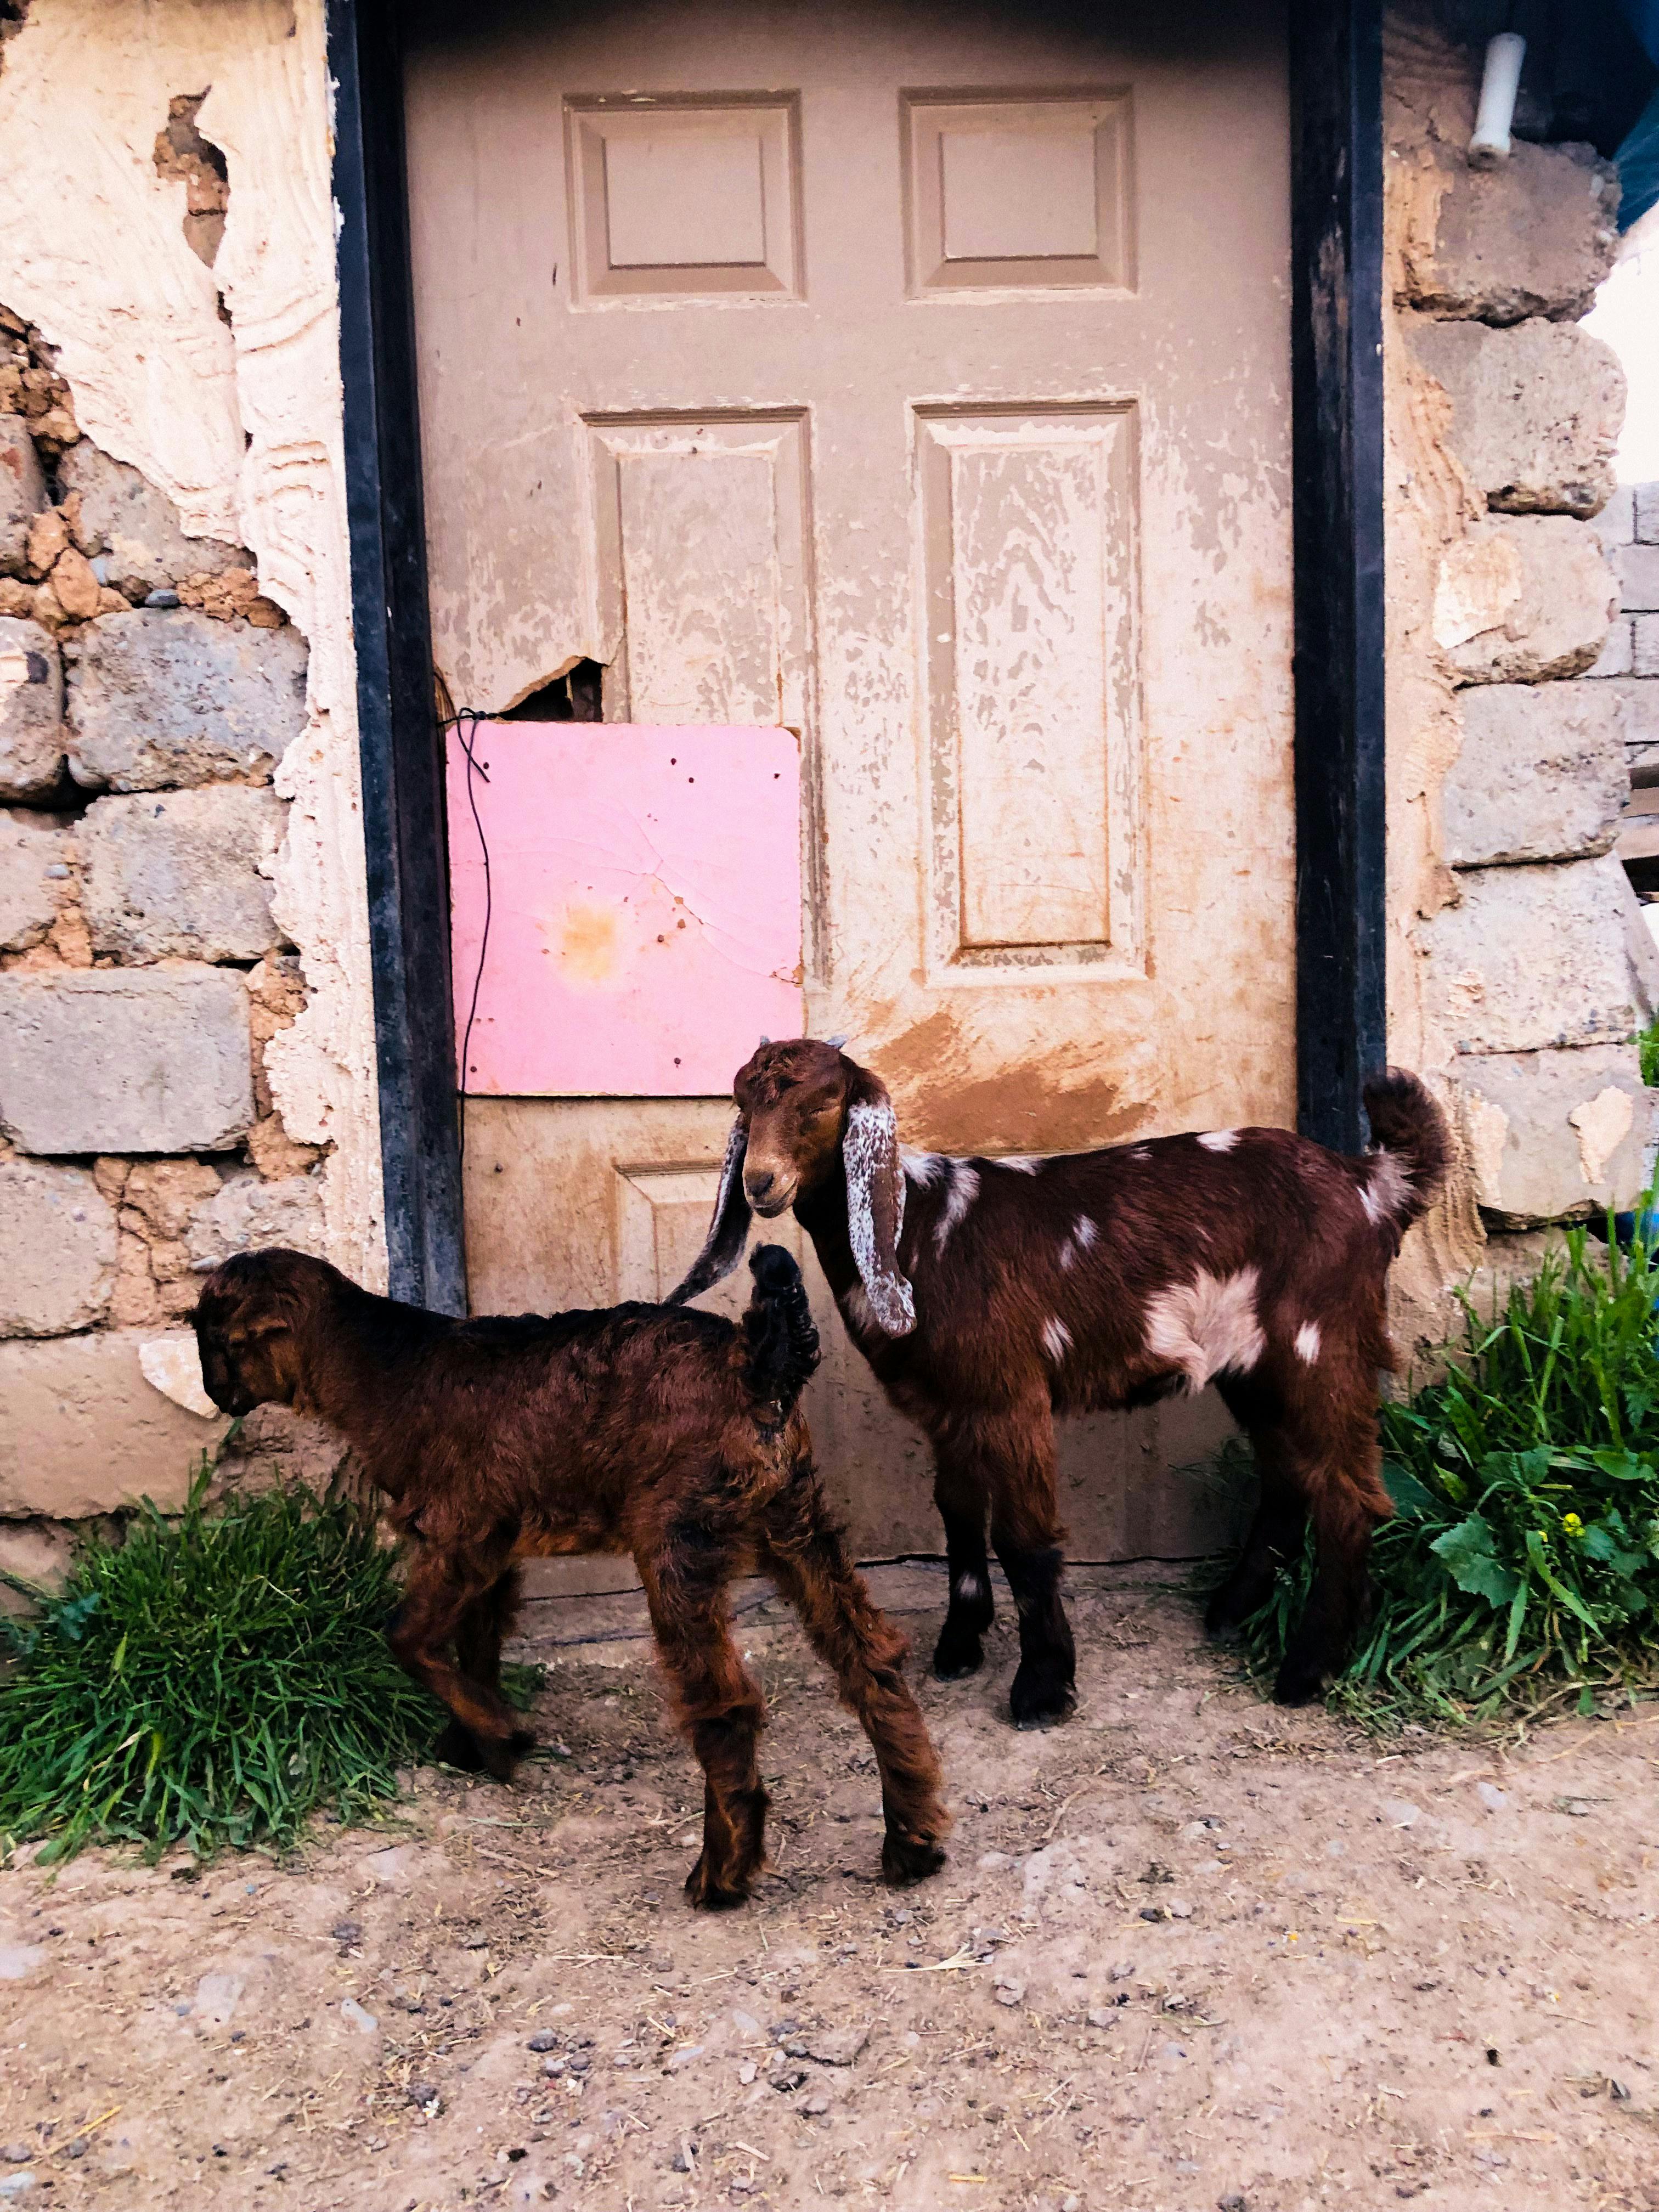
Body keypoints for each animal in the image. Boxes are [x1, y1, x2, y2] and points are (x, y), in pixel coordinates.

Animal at [191, 1243, 949, 1908]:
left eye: (216, 1339)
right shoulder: (492, 1544)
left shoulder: (460, 1530)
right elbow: (475, 1642)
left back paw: (720, 1876)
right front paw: (475, 1741)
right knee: (871, 1663)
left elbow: (405, 1636)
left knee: (725, 1707)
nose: (214, 1395)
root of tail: (757, 1365)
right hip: (798, 1524)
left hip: (678, 1537)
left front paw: (501, 1736)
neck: (383, 1370)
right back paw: (912, 1841)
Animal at [669, 1041, 1452, 1725]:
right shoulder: (950, 1404)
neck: (922, 1231)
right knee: (1290, 1477)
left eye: (823, 1104)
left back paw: (1305, 1671)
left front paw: (1043, 1687)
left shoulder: (1010, 1395)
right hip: (1255, 1363)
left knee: (1349, 1496)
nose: (760, 1184)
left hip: (1320, 1344)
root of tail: (1371, 1185)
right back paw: (1232, 1613)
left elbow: (1023, 1539)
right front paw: (960, 1644)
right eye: (743, 1104)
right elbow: (958, 1514)